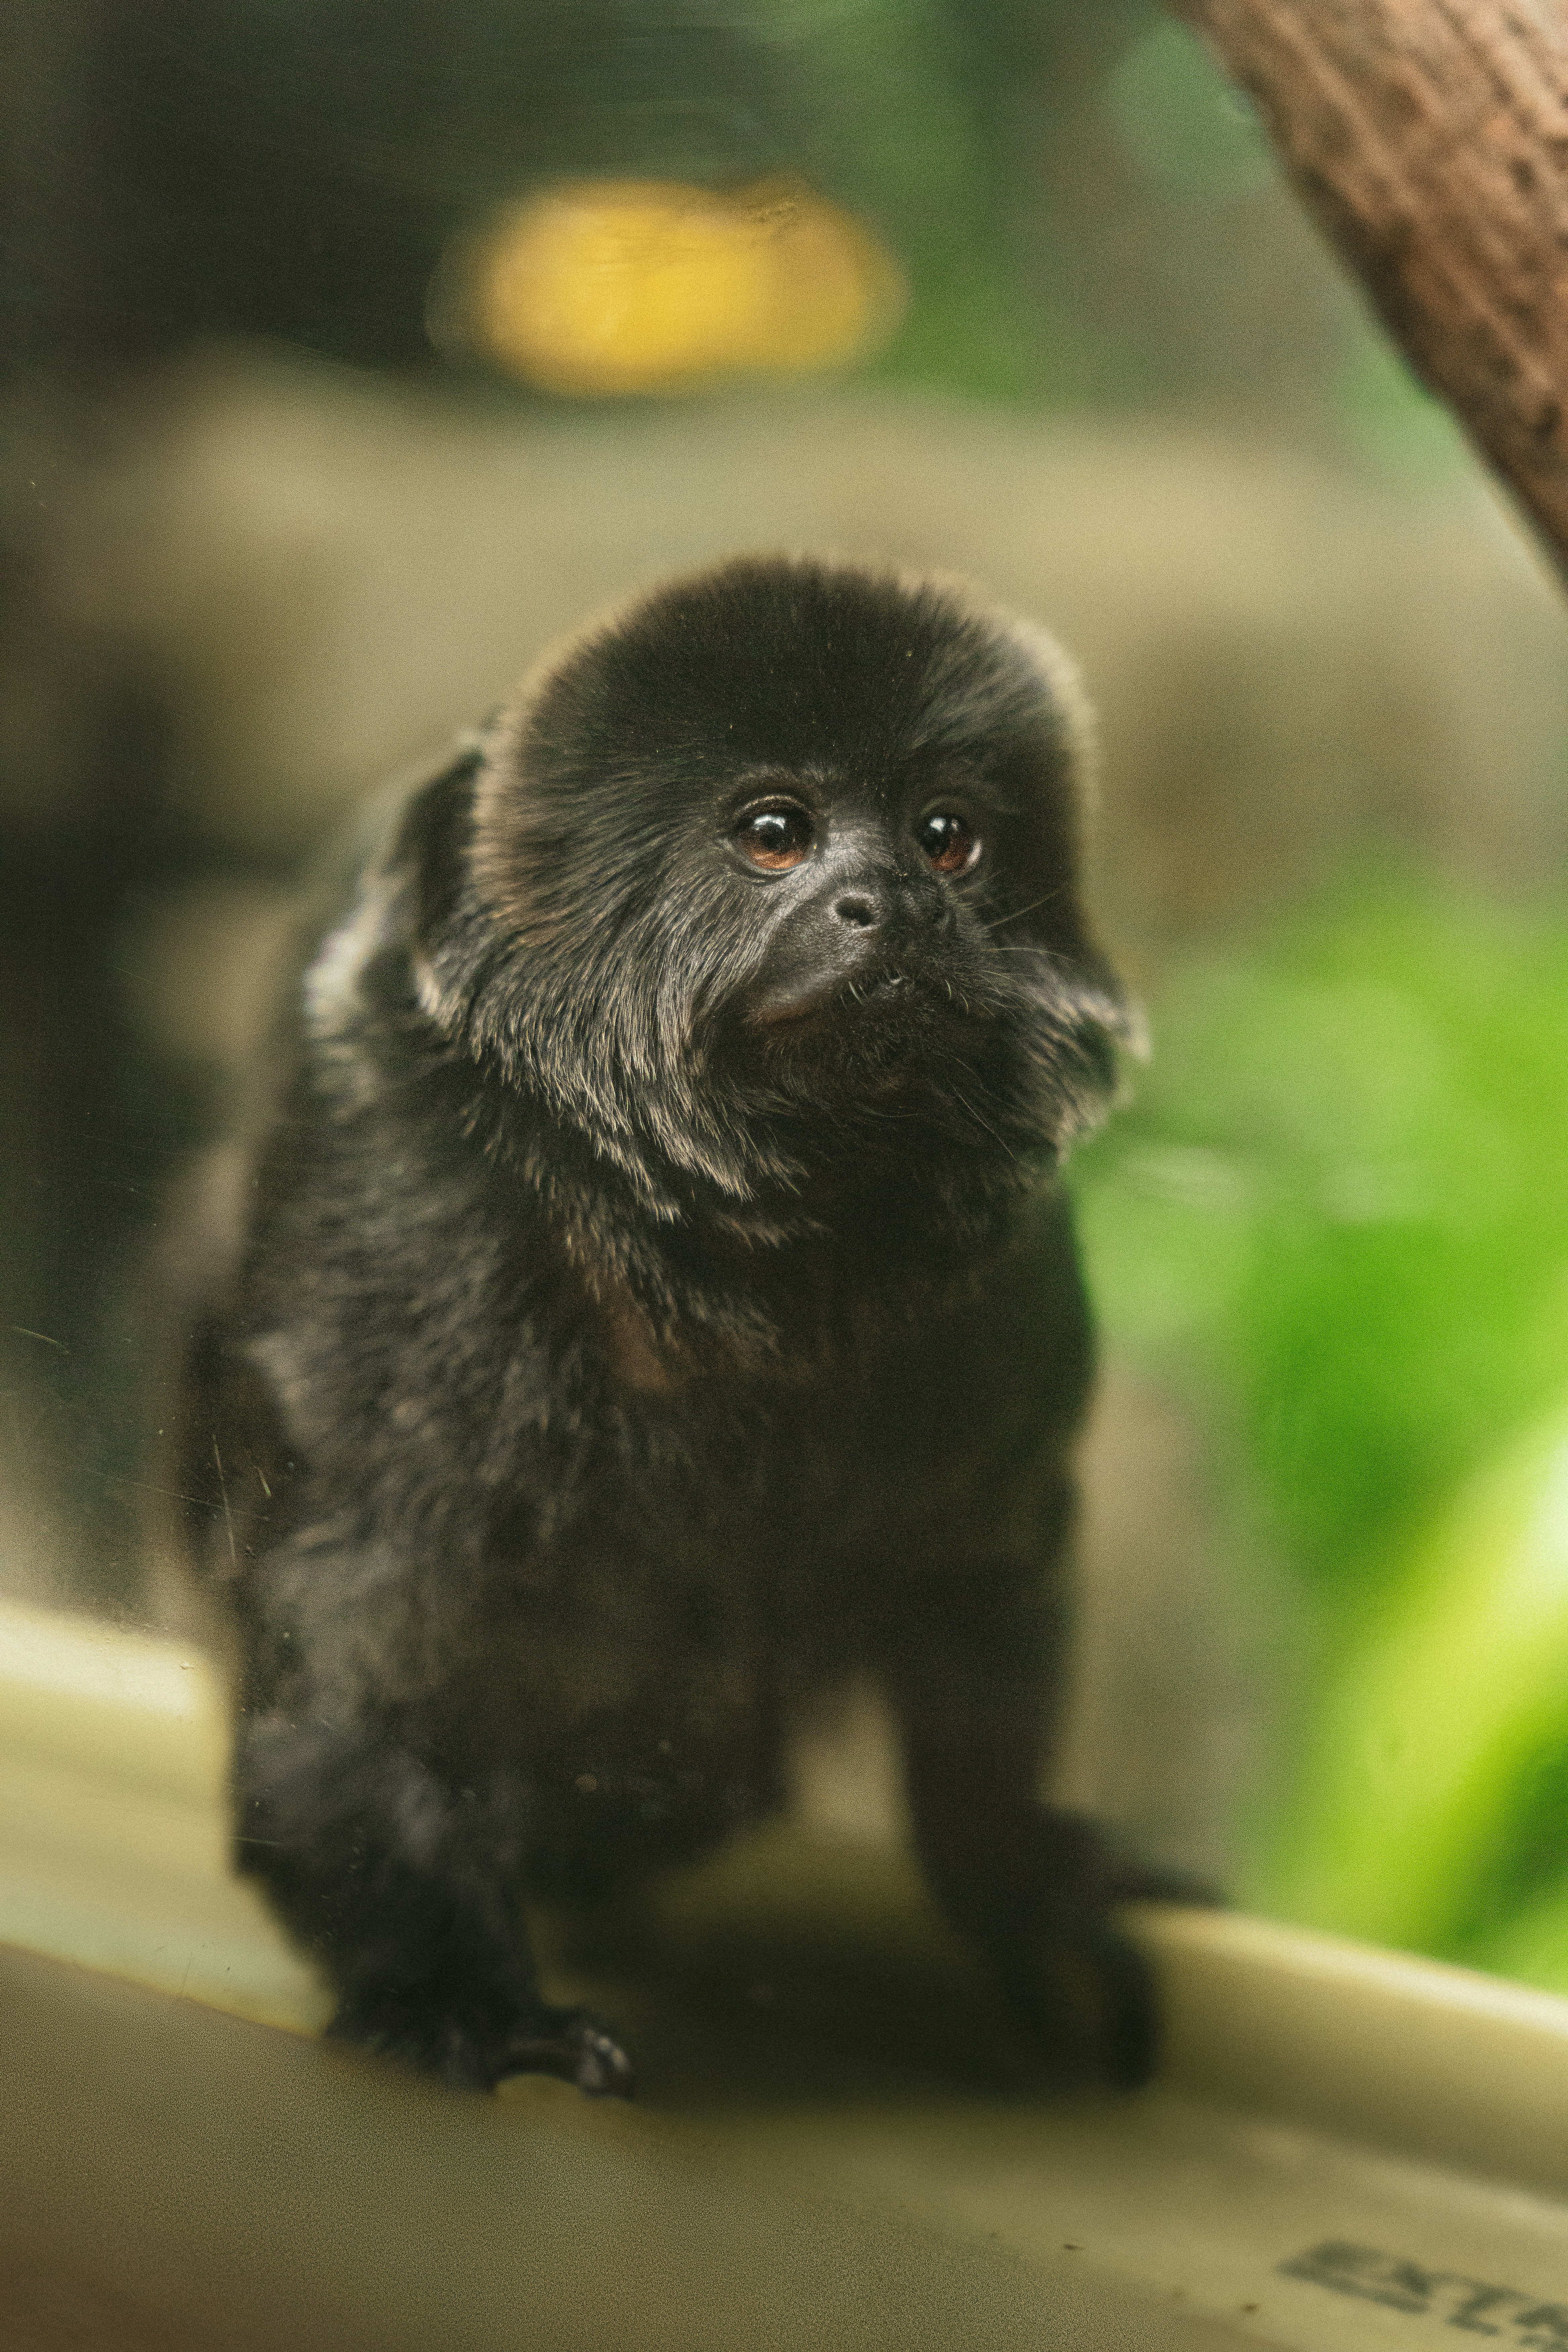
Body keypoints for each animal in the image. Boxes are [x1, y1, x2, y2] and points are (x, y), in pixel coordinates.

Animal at [175, 553, 1196, 2100]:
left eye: (947, 838)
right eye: (774, 836)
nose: (890, 903)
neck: (731, 1278)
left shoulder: (1001, 1299)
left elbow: (977, 1574)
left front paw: (1013, 1874)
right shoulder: (398, 1216)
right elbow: (357, 1626)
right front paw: (456, 1993)